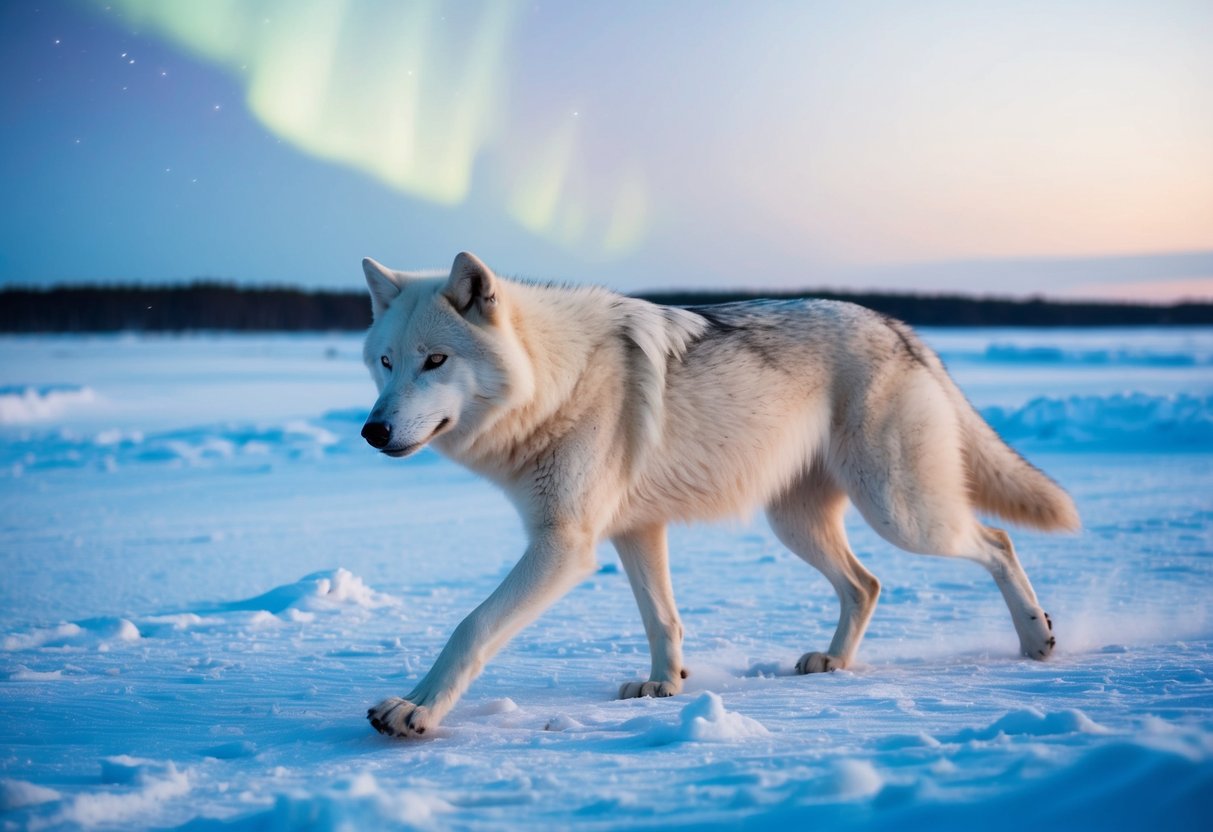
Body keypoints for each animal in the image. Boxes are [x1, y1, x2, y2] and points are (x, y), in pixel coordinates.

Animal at [360, 252, 1079, 738]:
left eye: (435, 361)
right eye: (386, 363)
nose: (372, 431)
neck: (555, 380)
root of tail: (900, 327)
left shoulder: (564, 546)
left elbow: (471, 626)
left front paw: (415, 708)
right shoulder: (633, 532)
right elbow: (663, 619)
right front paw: (662, 685)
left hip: (901, 513)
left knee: (995, 540)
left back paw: (1036, 639)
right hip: (797, 524)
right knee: (867, 584)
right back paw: (834, 662)